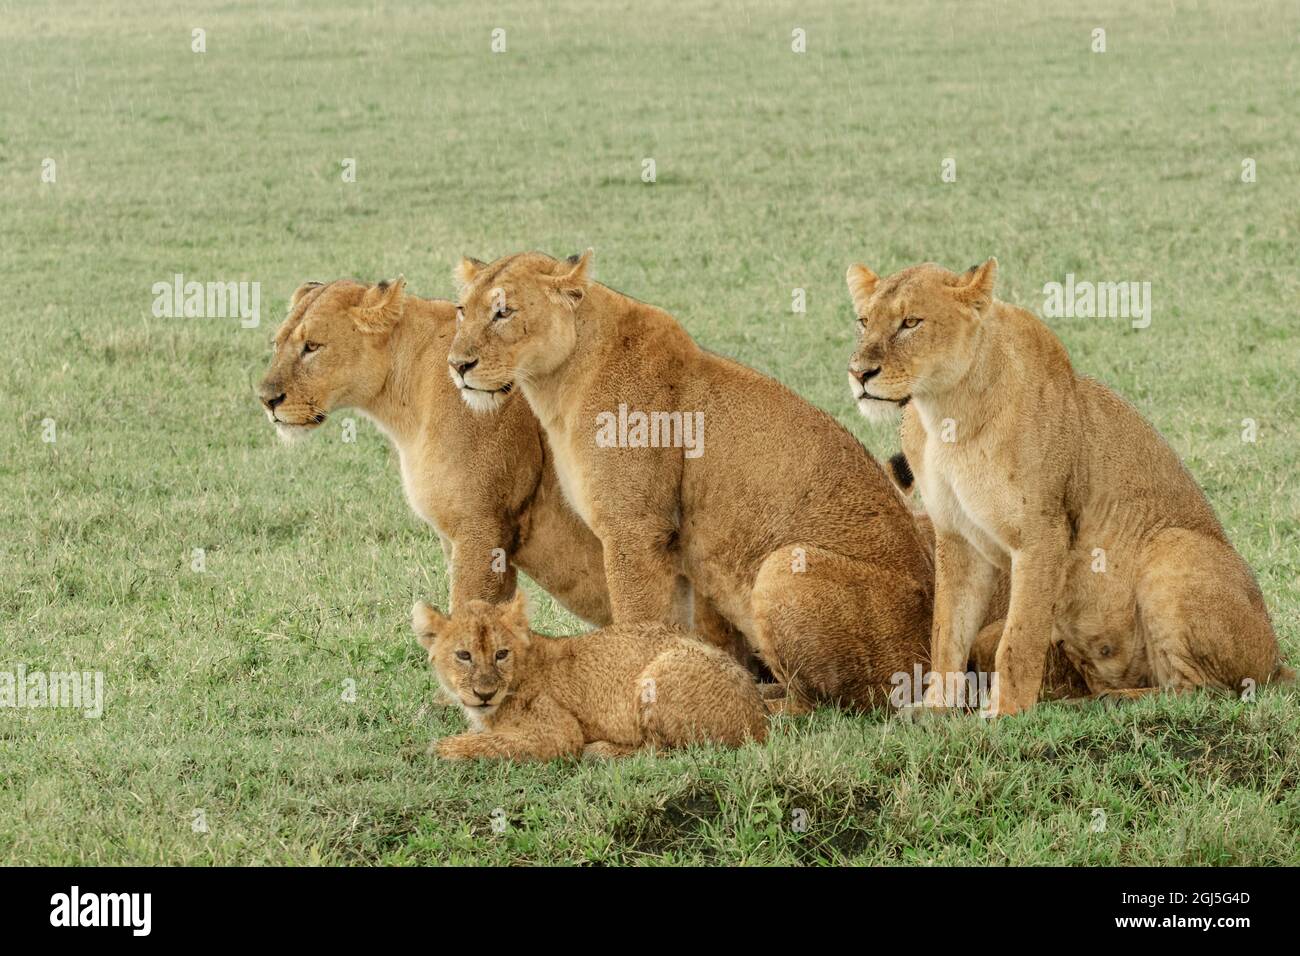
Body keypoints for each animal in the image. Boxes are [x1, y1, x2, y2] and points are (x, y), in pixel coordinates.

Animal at [412, 592, 768, 760]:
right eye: (464, 655)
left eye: (501, 654)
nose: (484, 694)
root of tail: (760, 719)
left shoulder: (559, 732)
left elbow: (493, 742)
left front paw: (440, 748)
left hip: (661, 671)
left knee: (668, 750)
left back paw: (601, 751)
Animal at [444, 251, 934, 711]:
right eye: (462, 310)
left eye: (504, 312)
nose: (457, 364)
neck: (555, 384)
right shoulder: (668, 544)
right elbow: (670, 624)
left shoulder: (633, 529)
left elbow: (635, 618)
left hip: (783, 565)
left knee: (814, 705)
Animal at [845, 258, 1289, 715]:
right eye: (863, 321)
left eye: (911, 322)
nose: (859, 373)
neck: (946, 412)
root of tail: (1277, 661)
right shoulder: (956, 537)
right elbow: (947, 631)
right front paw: (936, 707)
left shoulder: (1042, 533)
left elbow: (1019, 639)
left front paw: (1005, 713)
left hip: (1173, 546)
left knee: (1199, 691)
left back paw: (1104, 703)